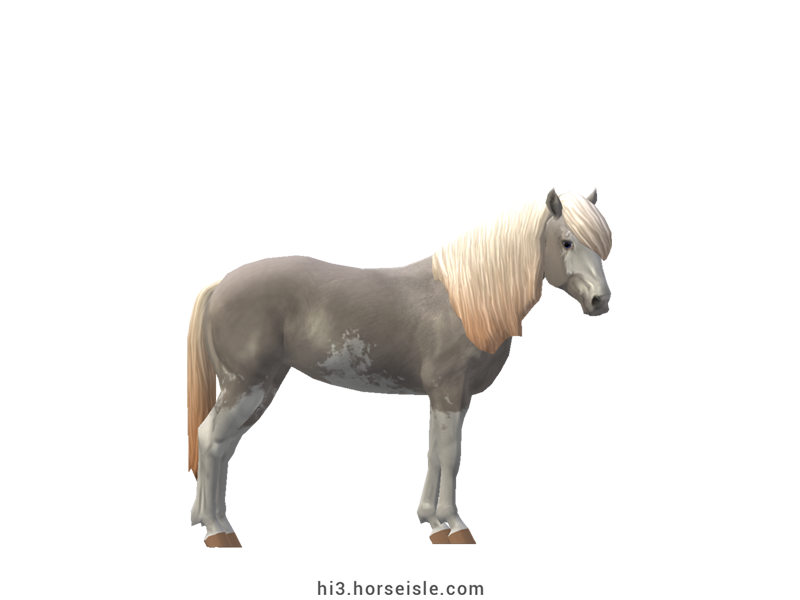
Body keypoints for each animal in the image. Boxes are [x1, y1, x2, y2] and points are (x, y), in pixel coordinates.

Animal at [187, 188, 612, 541]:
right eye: (567, 241)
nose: (599, 300)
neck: (465, 300)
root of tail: (219, 287)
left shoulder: (449, 396)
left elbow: (435, 452)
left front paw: (430, 520)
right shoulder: (447, 389)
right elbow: (450, 454)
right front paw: (454, 522)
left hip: (251, 389)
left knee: (218, 444)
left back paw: (215, 521)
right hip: (244, 385)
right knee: (208, 437)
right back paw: (212, 527)